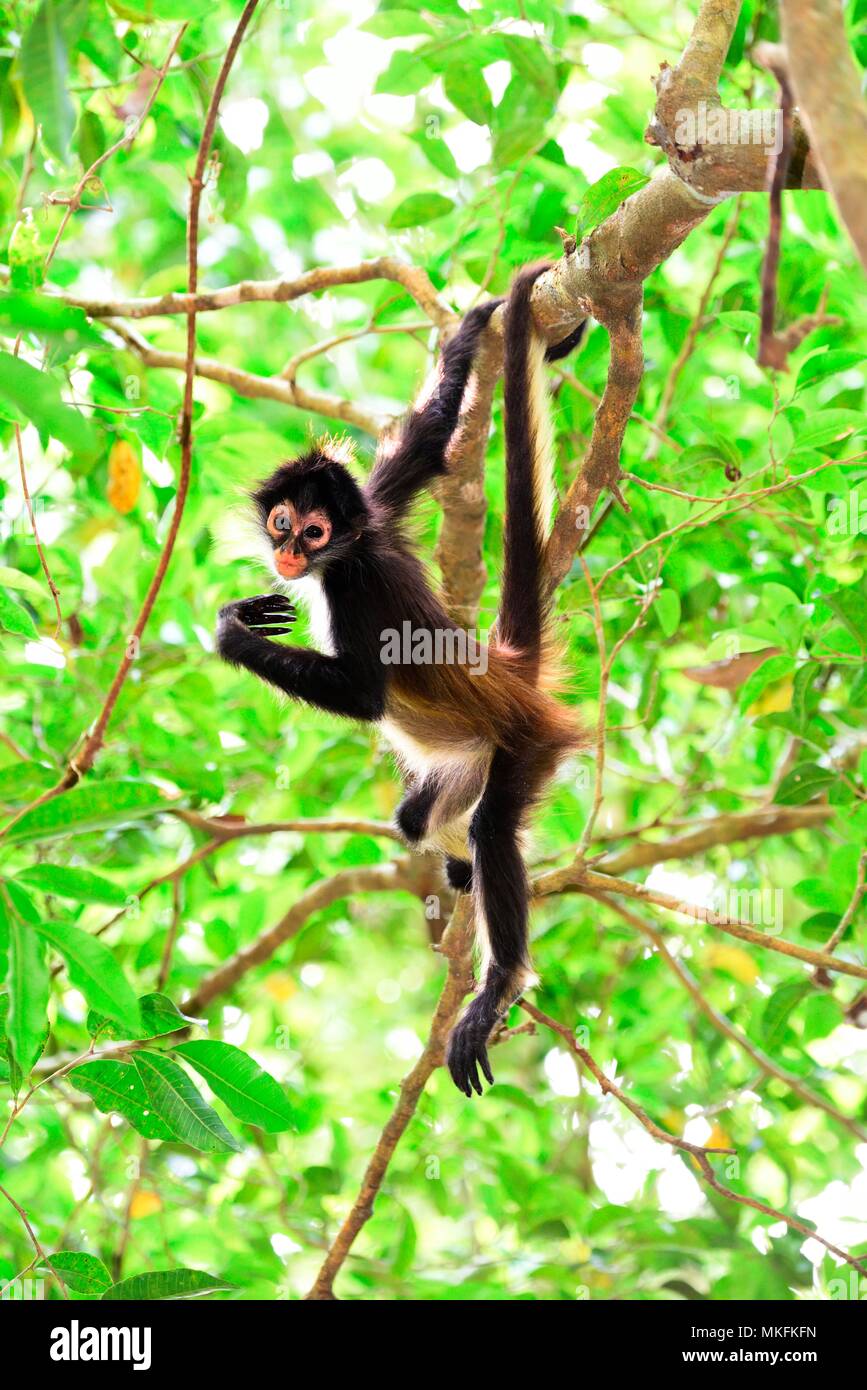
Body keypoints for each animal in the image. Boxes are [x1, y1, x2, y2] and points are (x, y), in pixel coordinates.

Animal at [216, 264, 586, 1097]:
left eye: (314, 533)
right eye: (283, 522)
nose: (289, 554)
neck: (346, 553)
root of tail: (508, 676)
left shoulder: (355, 583)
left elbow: (363, 695)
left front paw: (230, 631)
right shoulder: (377, 504)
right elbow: (425, 443)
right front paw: (473, 326)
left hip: (527, 743)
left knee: (494, 826)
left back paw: (499, 977)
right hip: (470, 758)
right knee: (418, 817)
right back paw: (454, 862)